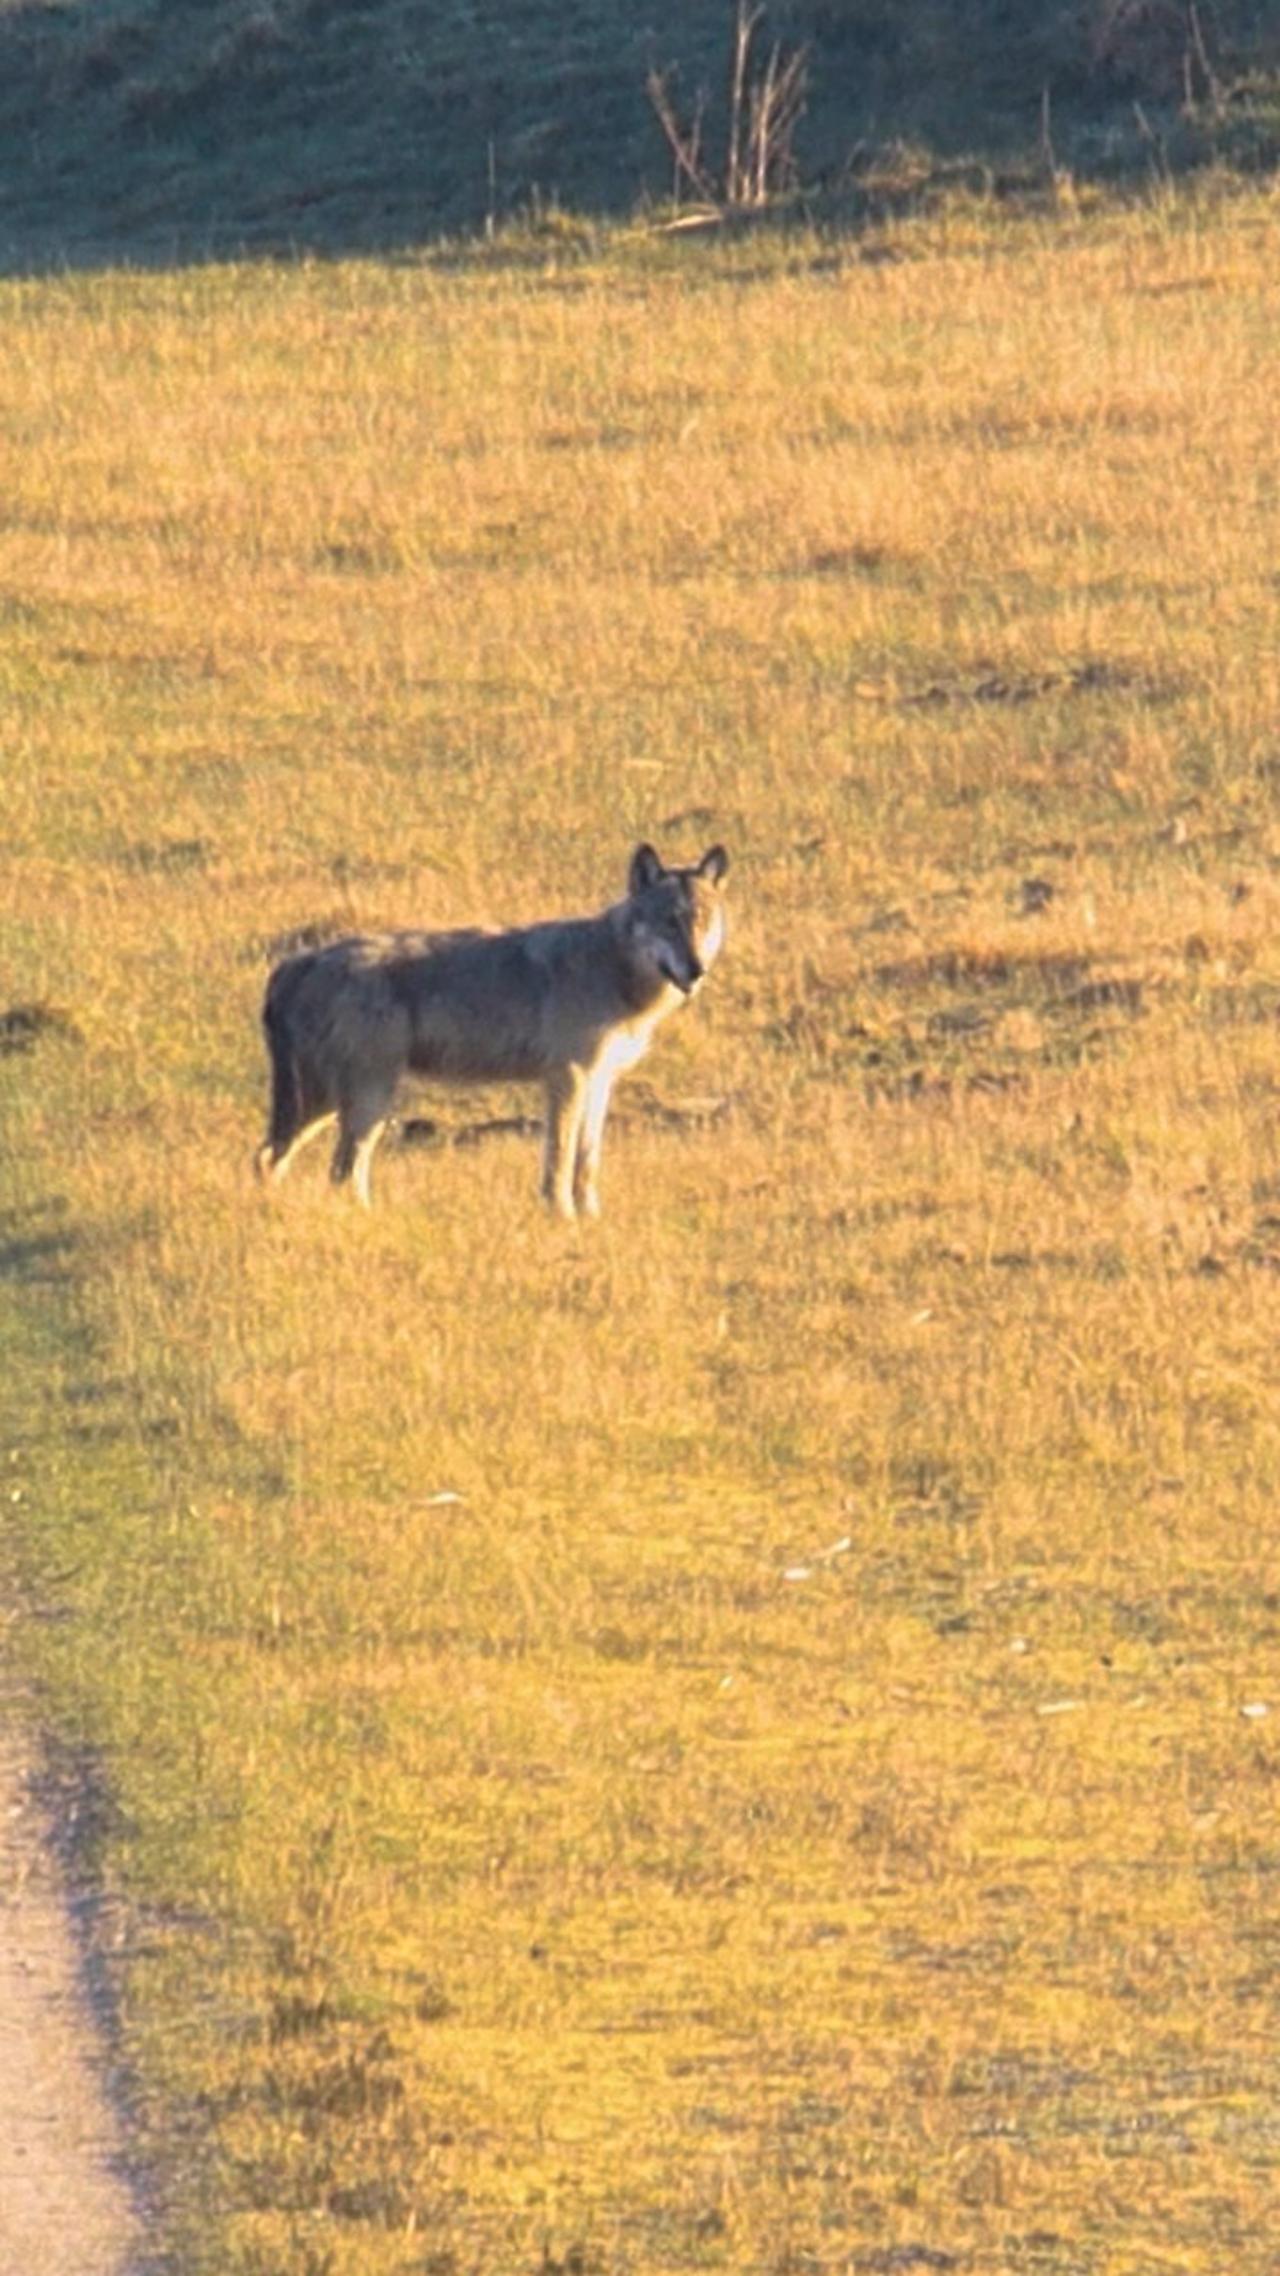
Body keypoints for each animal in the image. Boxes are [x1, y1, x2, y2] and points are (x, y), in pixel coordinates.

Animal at [255, 842, 729, 1218]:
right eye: (669, 922)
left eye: (702, 921)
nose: (696, 969)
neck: (611, 967)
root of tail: (300, 960)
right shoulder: (568, 1078)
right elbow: (558, 1160)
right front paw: (561, 1217)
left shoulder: (599, 1082)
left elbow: (587, 1162)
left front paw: (591, 1218)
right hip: (365, 1103)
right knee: (340, 1170)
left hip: (326, 1105)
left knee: (269, 1158)